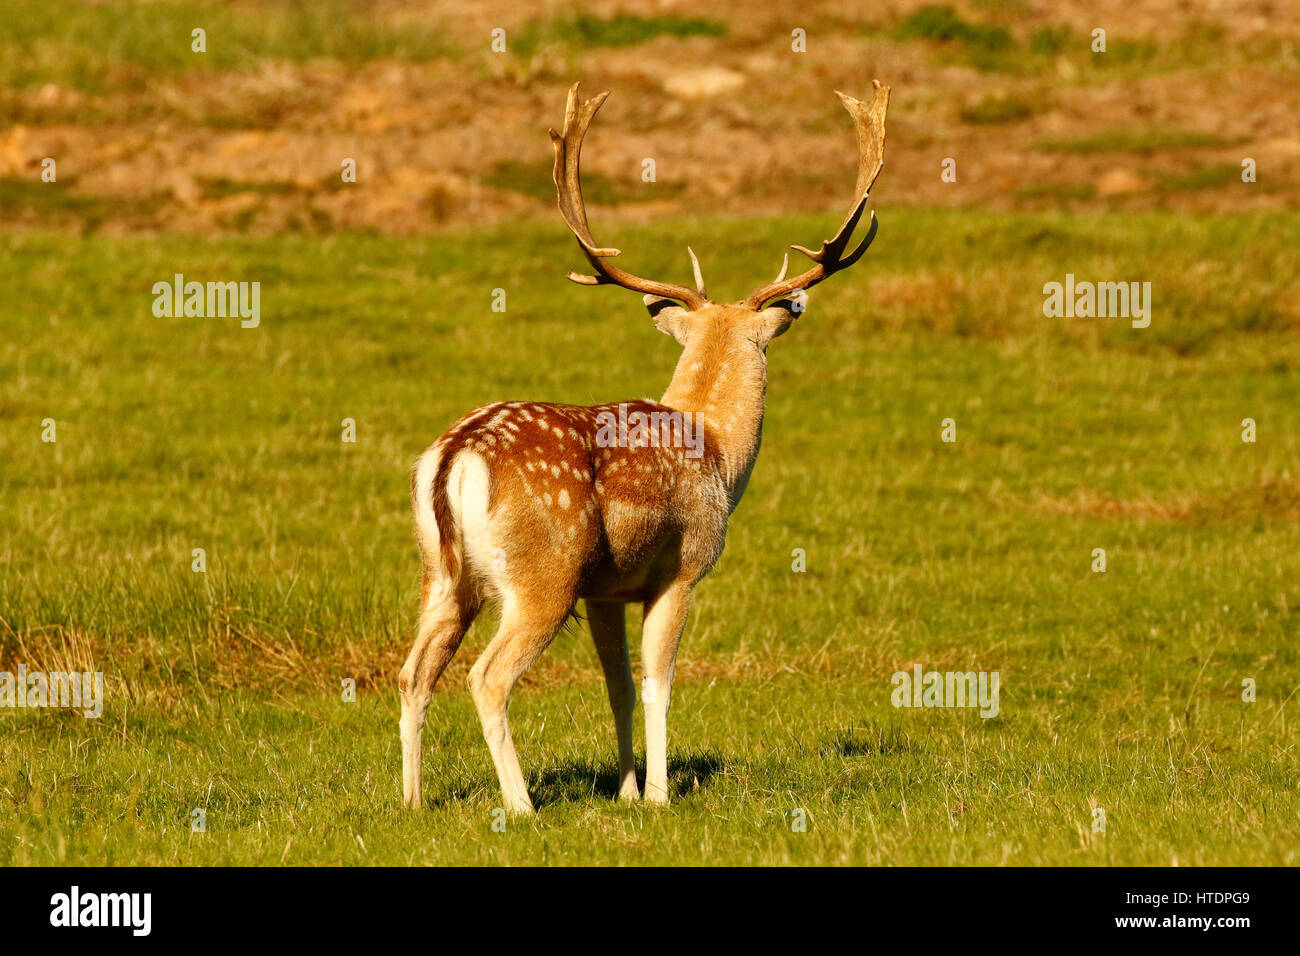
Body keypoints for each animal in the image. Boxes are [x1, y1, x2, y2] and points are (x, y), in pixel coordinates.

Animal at [400, 80, 889, 815]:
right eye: (765, 341)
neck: (716, 449)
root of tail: (455, 456)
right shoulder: (680, 569)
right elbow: (659, 682)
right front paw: (658, 795)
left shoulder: (607, 588)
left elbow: (618, 685)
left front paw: (627, 792)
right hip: (543, 572)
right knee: (488, 677)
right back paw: (521, 806)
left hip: (445, 575)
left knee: (412, 673)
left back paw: (410, 801)